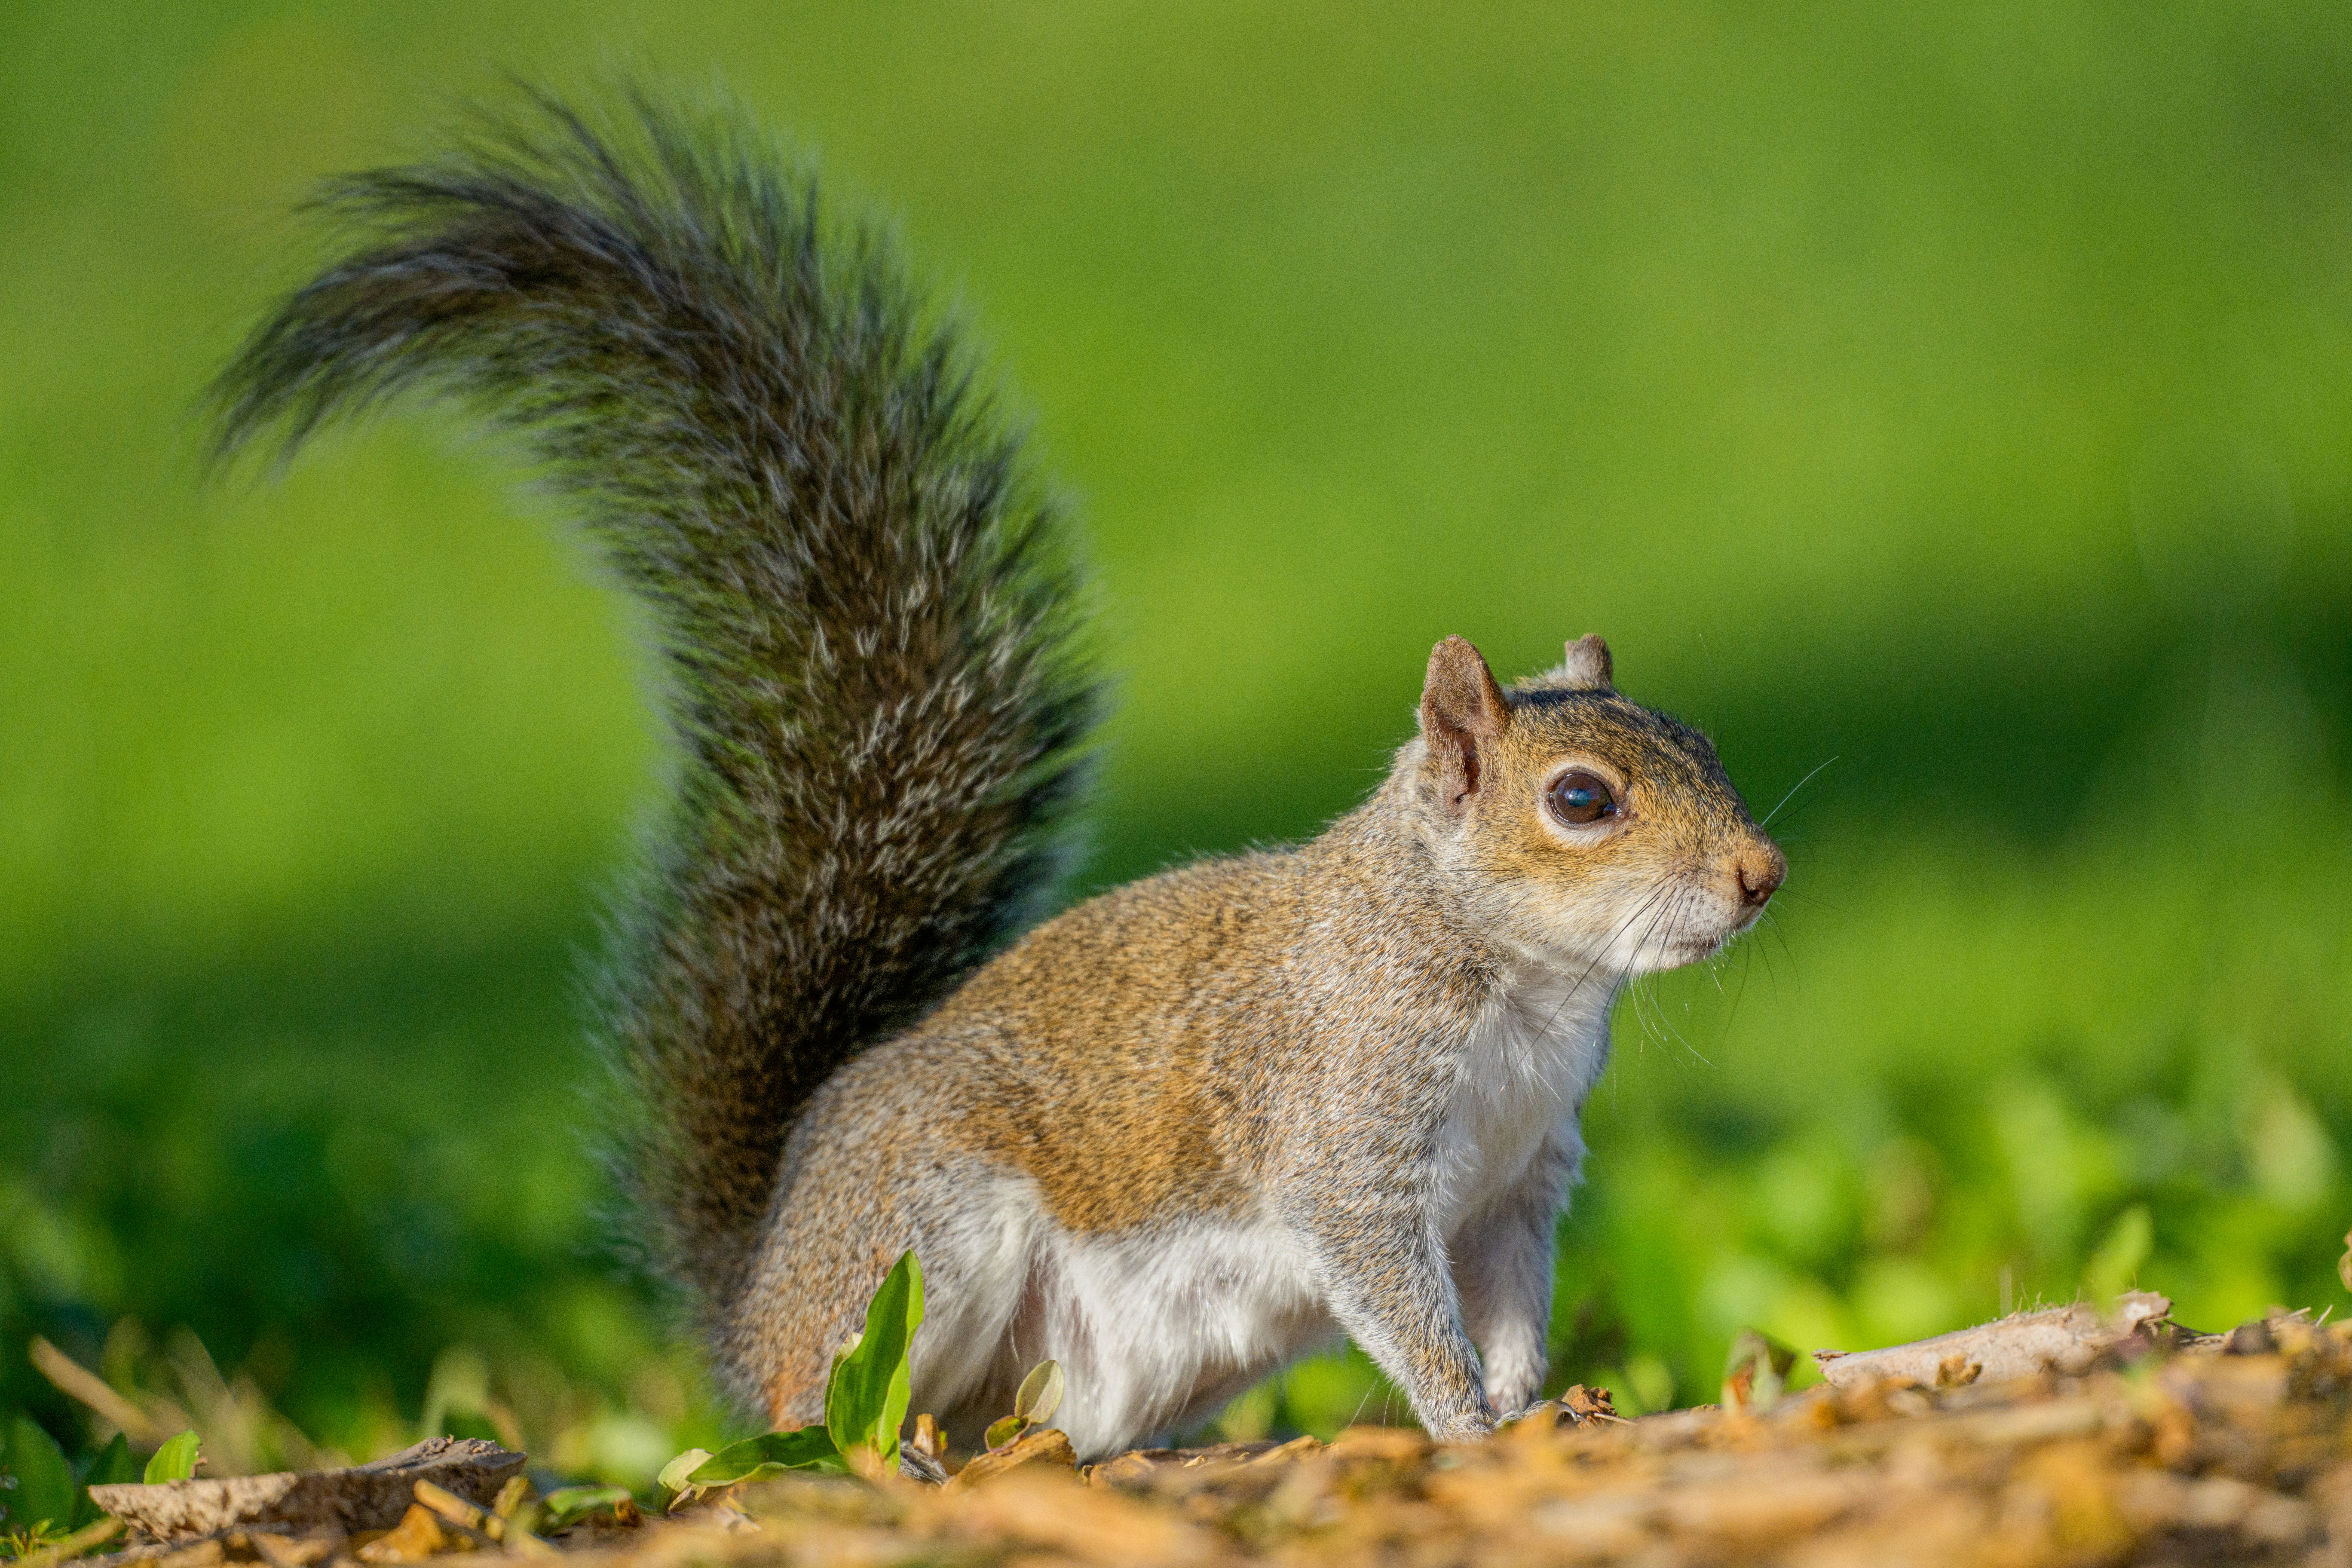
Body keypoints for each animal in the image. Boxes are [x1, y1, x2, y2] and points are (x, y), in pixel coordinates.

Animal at [206, 87, 1785, 1459]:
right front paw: (1470, 1427)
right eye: (1580, 800)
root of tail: (755, 1293)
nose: (1763, 875)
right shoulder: (1348, 1136)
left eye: (1704, 743)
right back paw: (877, 1458)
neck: (1509, 975)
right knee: (826, 1418)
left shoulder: (1518, 1185)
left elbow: (1509, 1310)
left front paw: (1542, 1408)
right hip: (922, 1248)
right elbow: (1400, 1294)